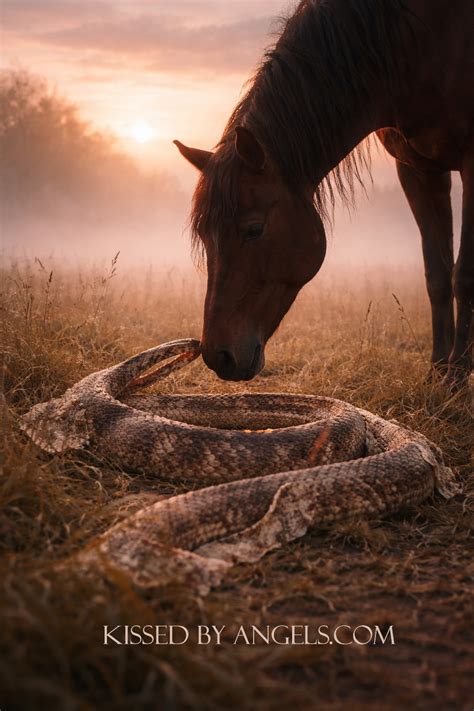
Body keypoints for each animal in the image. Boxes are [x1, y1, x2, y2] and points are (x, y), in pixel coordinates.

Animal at [174, 0, 473, 387]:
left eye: (254, 230)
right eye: (203, 235)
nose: (217, 356)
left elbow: (464, 275)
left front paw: (456, 376)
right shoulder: (417, 169)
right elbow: (436, 275)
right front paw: (437, 372)